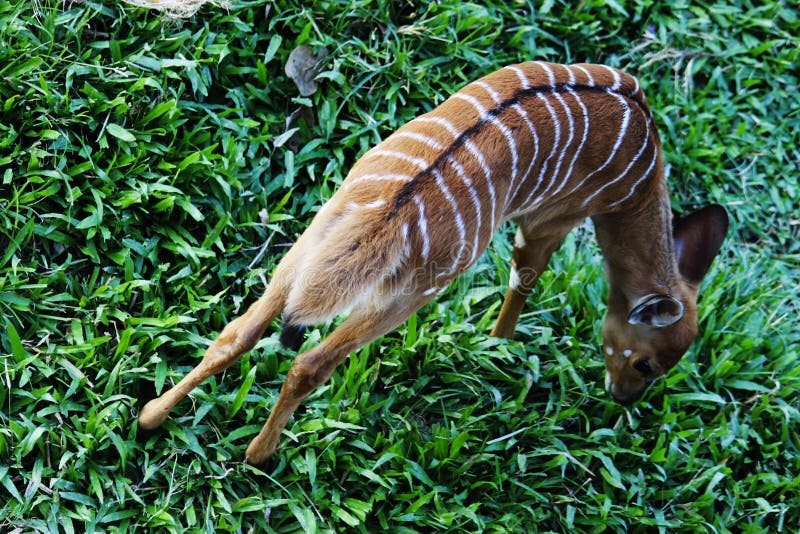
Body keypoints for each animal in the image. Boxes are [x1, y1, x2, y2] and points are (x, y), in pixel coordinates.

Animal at [138, 61, 729, 465]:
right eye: (647, 364)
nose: (622, 398)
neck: (638, 176)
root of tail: (390, 212)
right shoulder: (552, 219)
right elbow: (525, 275)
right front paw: (501, 344)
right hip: (417, 288)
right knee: (309, 364)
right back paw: (258, 455)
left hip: (313, 240)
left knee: (236, 332)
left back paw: (149, 417)